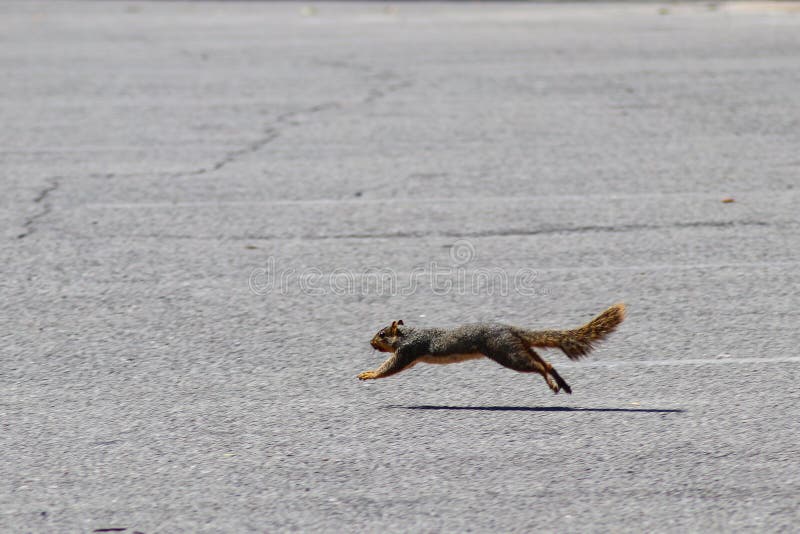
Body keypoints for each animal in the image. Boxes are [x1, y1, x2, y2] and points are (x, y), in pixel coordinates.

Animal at [357, 303, 626, 394]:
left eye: (382, 335)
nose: (370, 343)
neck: (410, 334)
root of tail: (511, 330)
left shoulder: (408, 351)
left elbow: (389, 367)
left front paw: (368, 374)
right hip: (516, 349)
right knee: (545, 363)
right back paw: (561, 384)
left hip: (507, 353)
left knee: (540, 366)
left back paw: (554, 384)